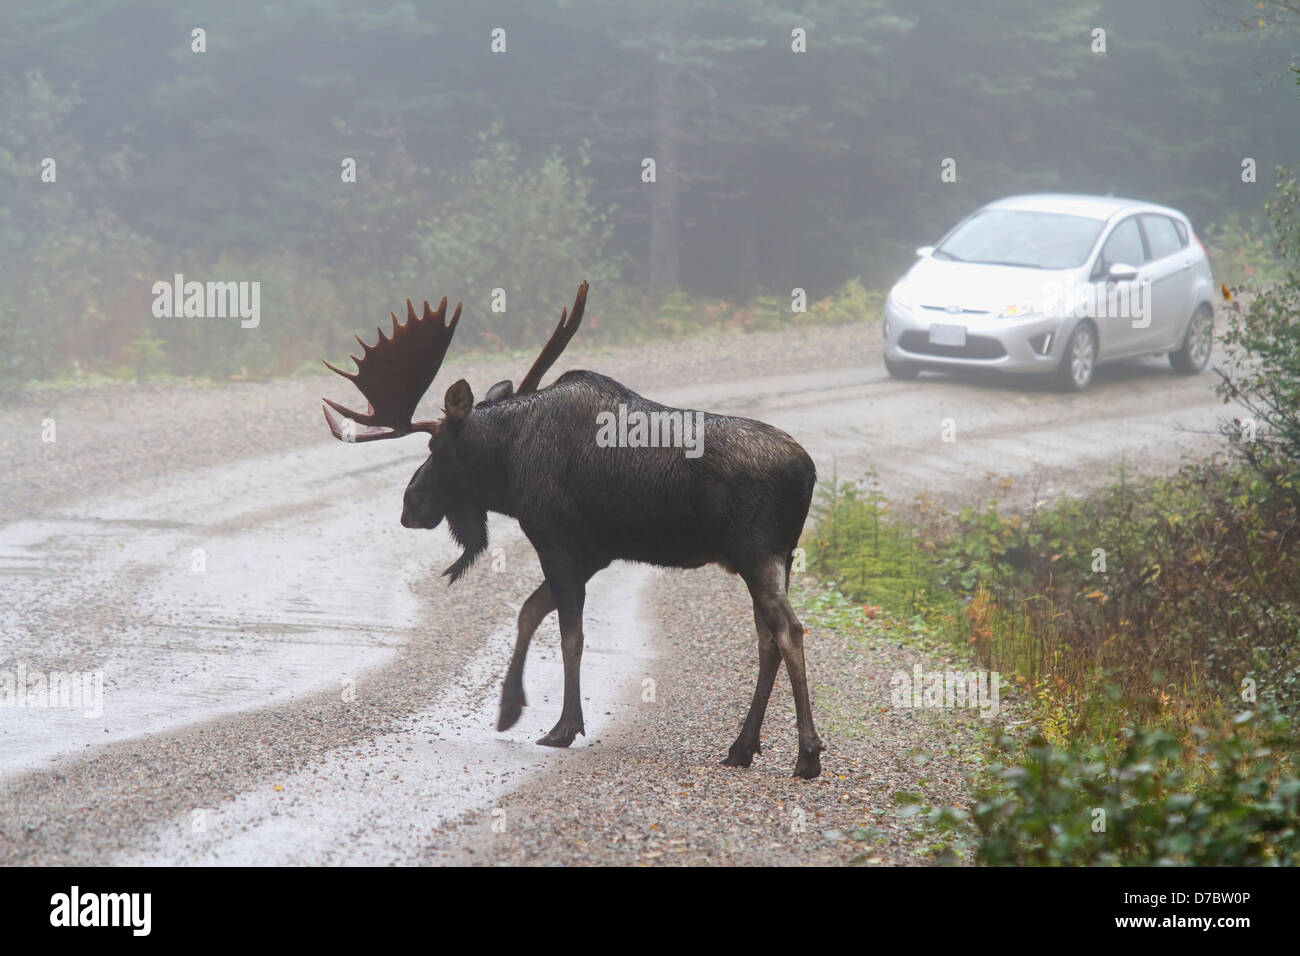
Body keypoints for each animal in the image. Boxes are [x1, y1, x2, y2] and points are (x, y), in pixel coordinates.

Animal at [321, 282, 825, 778]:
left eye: (435, 446)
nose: (410, 505)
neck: (507, 468)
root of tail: (808, 471)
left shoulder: (554, 537)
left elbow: (570, 635)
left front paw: (563, 726)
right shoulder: (591, 554)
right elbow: (529, 612)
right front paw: (508, 709)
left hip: (756, 552)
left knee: (789, 630)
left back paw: (807, 753)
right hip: (780, 557)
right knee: (767, 638)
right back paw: (742, 746)